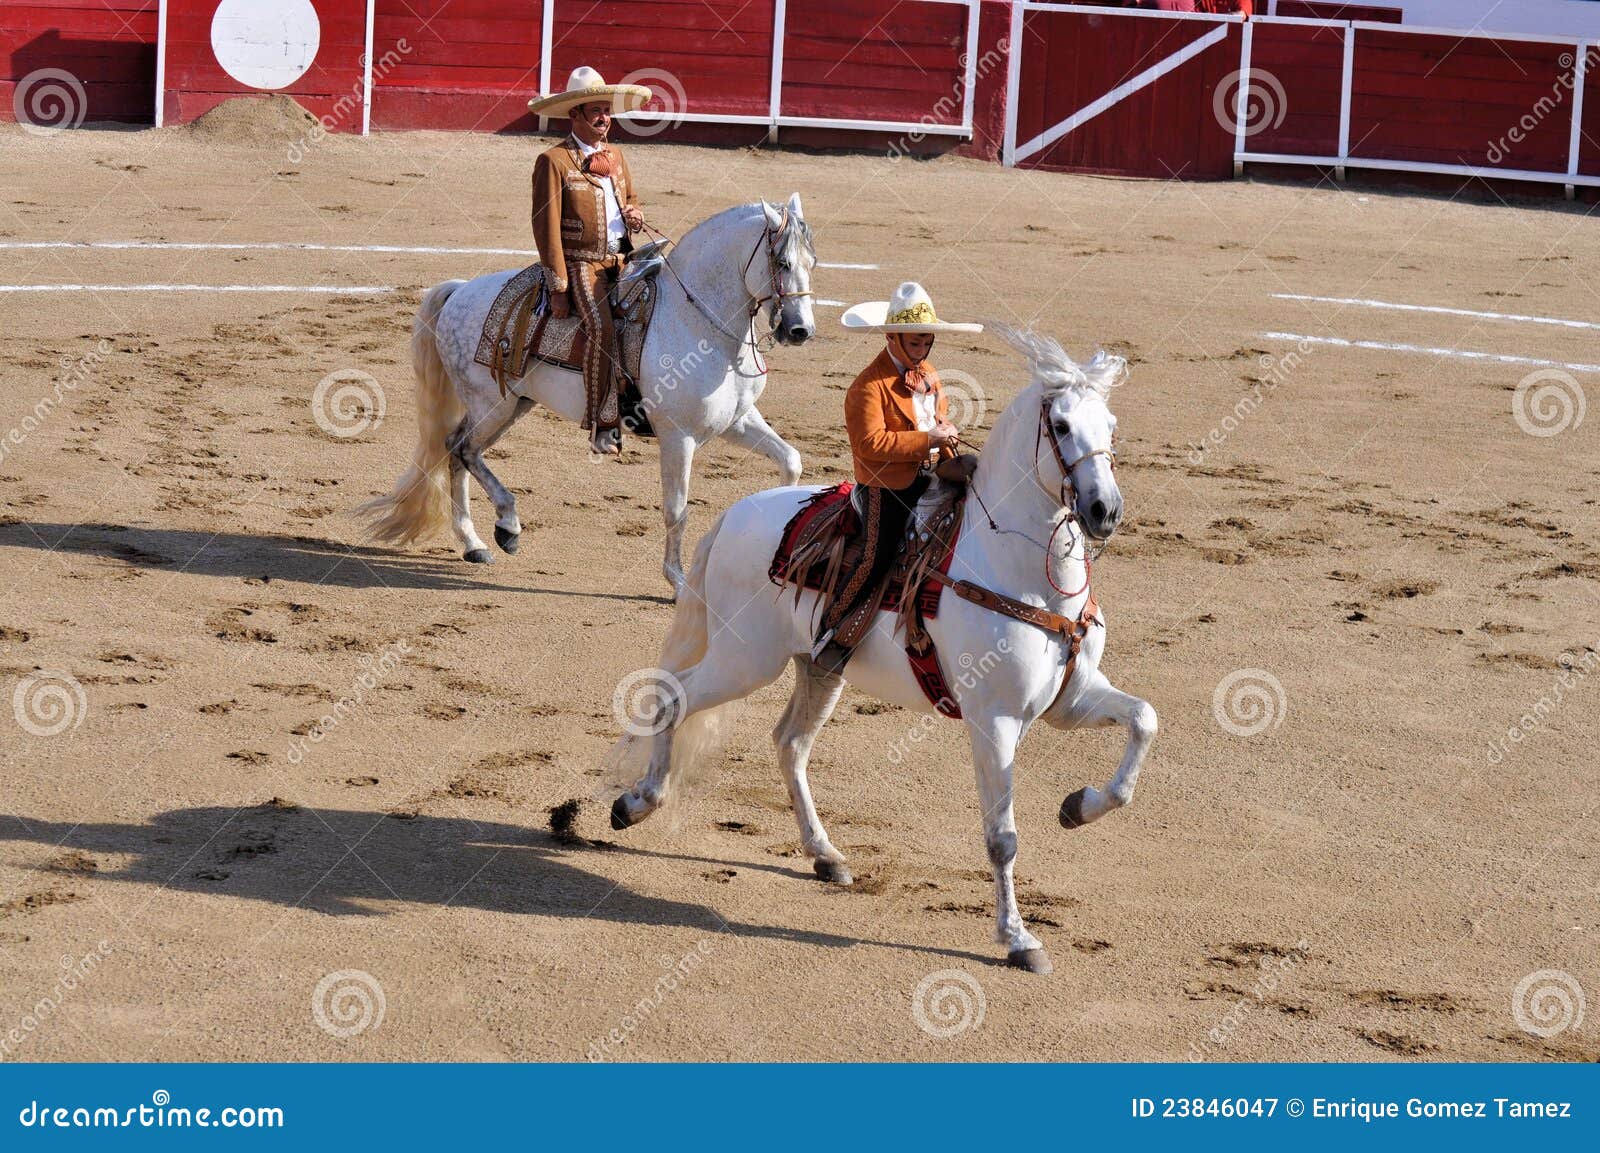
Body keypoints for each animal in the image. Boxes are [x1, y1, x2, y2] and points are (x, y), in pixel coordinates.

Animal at [358, 194, 817, 597]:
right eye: (782, 262)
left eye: (812, 262)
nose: (799, 331)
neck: (698, 322)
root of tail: (461, 289)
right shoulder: (677, 436)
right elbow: (677, 510)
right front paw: (679, 584)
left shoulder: (737, 420)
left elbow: (791, 461)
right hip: (493, 404)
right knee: (462, 449)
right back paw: (506, 528)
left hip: (510, 405)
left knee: (458, 452)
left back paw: (474, 544)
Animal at [604, 326, 1158, 974]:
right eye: (1063, 425)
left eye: (1111, 425)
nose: (1104, 511)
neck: (1025, 573)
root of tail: (734, 515)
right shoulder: (993, 719)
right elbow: (1003, 837)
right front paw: (1019, 940)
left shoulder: (1067, 702)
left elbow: (1143, 721)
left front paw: (1078, 807)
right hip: (746, 661)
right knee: (674, 699)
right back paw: (636, 802)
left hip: (821, 666)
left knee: (789, 743)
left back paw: (824, 854)